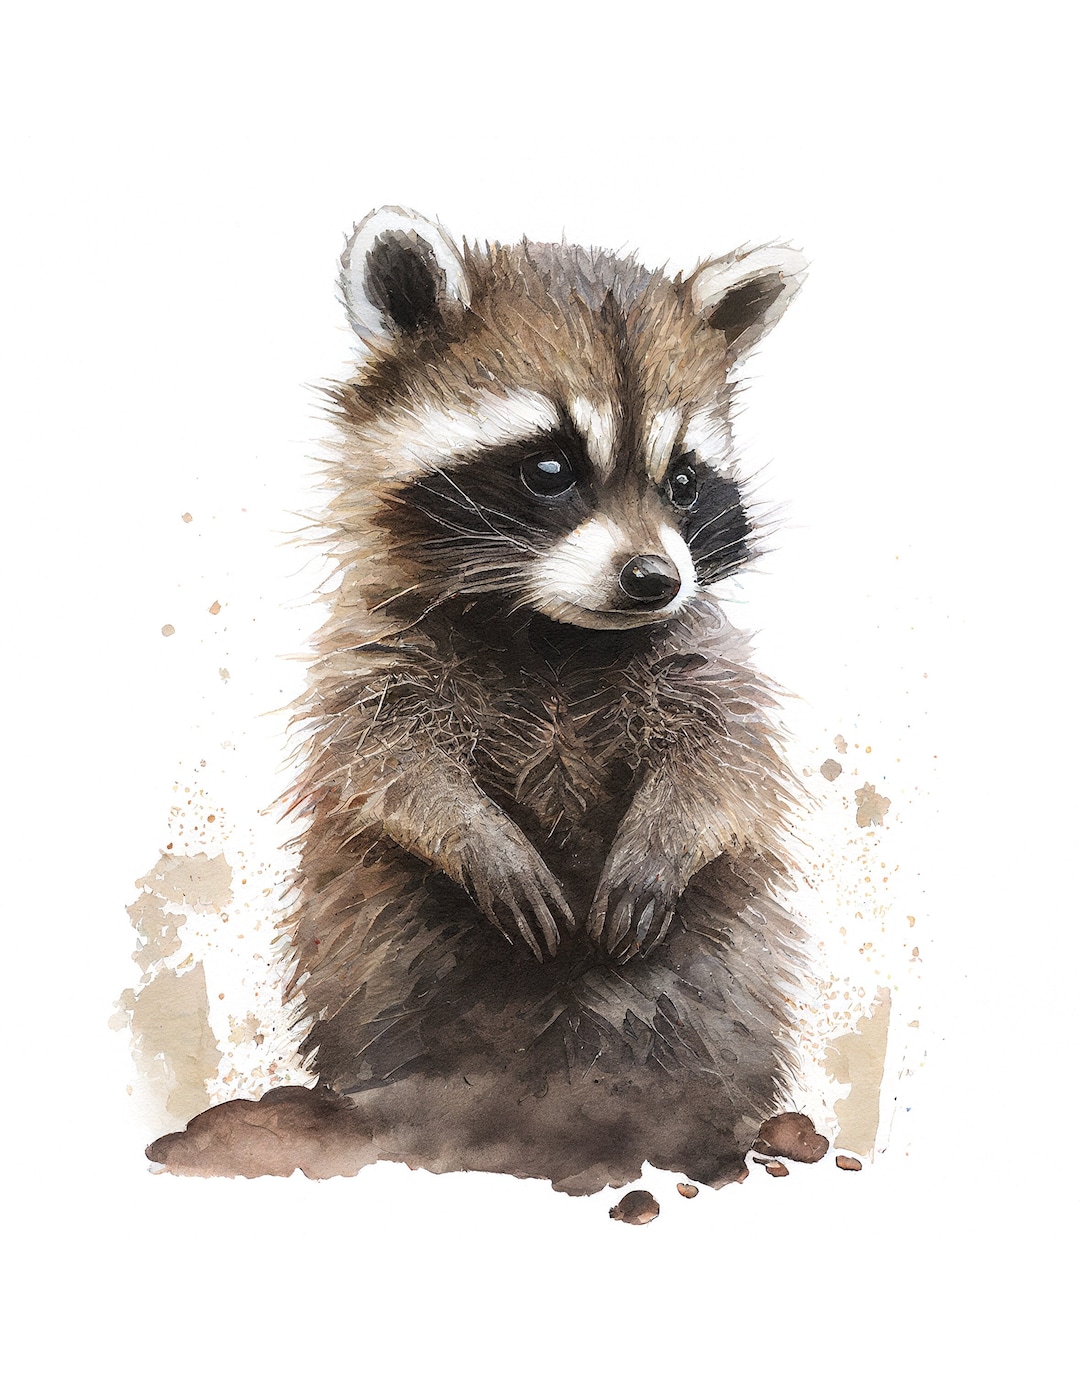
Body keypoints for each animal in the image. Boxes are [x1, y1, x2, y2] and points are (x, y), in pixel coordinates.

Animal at [149, 208, 811, 1194]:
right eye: (550, 466)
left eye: (683, 482)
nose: (653, 579)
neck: (553, 632)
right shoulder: (378, 642)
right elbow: (386, 756)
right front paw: (473, 833)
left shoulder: (695, 651)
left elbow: (724, 757)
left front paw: (666, 833)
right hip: (377, 950)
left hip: (722, 966)